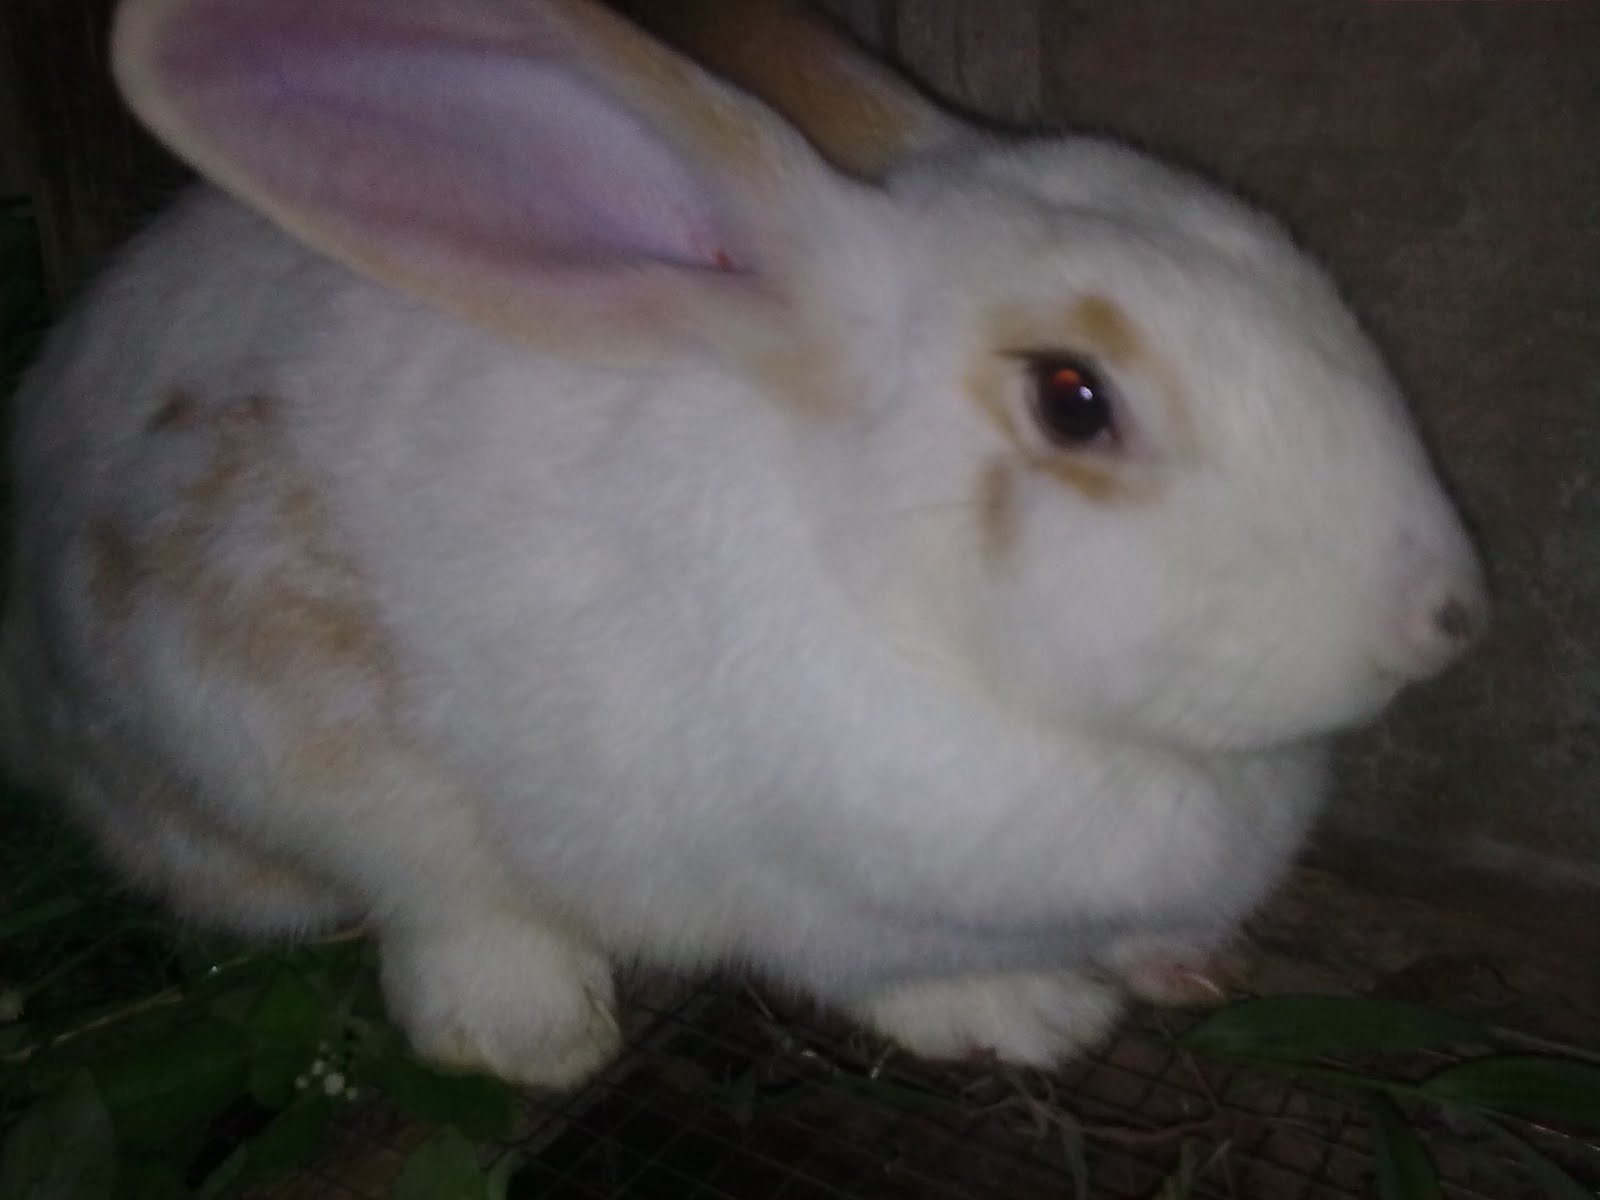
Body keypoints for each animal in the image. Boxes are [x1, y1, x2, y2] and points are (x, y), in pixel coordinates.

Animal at [1, 0, 1486, 1089]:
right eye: (1074, 399)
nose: (1445, 617)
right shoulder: (834, 906)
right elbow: (907, 975)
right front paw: (1036, 1016)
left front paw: (1179, 968)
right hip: (271, 735)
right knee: (442, 902)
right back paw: (534, 1032)